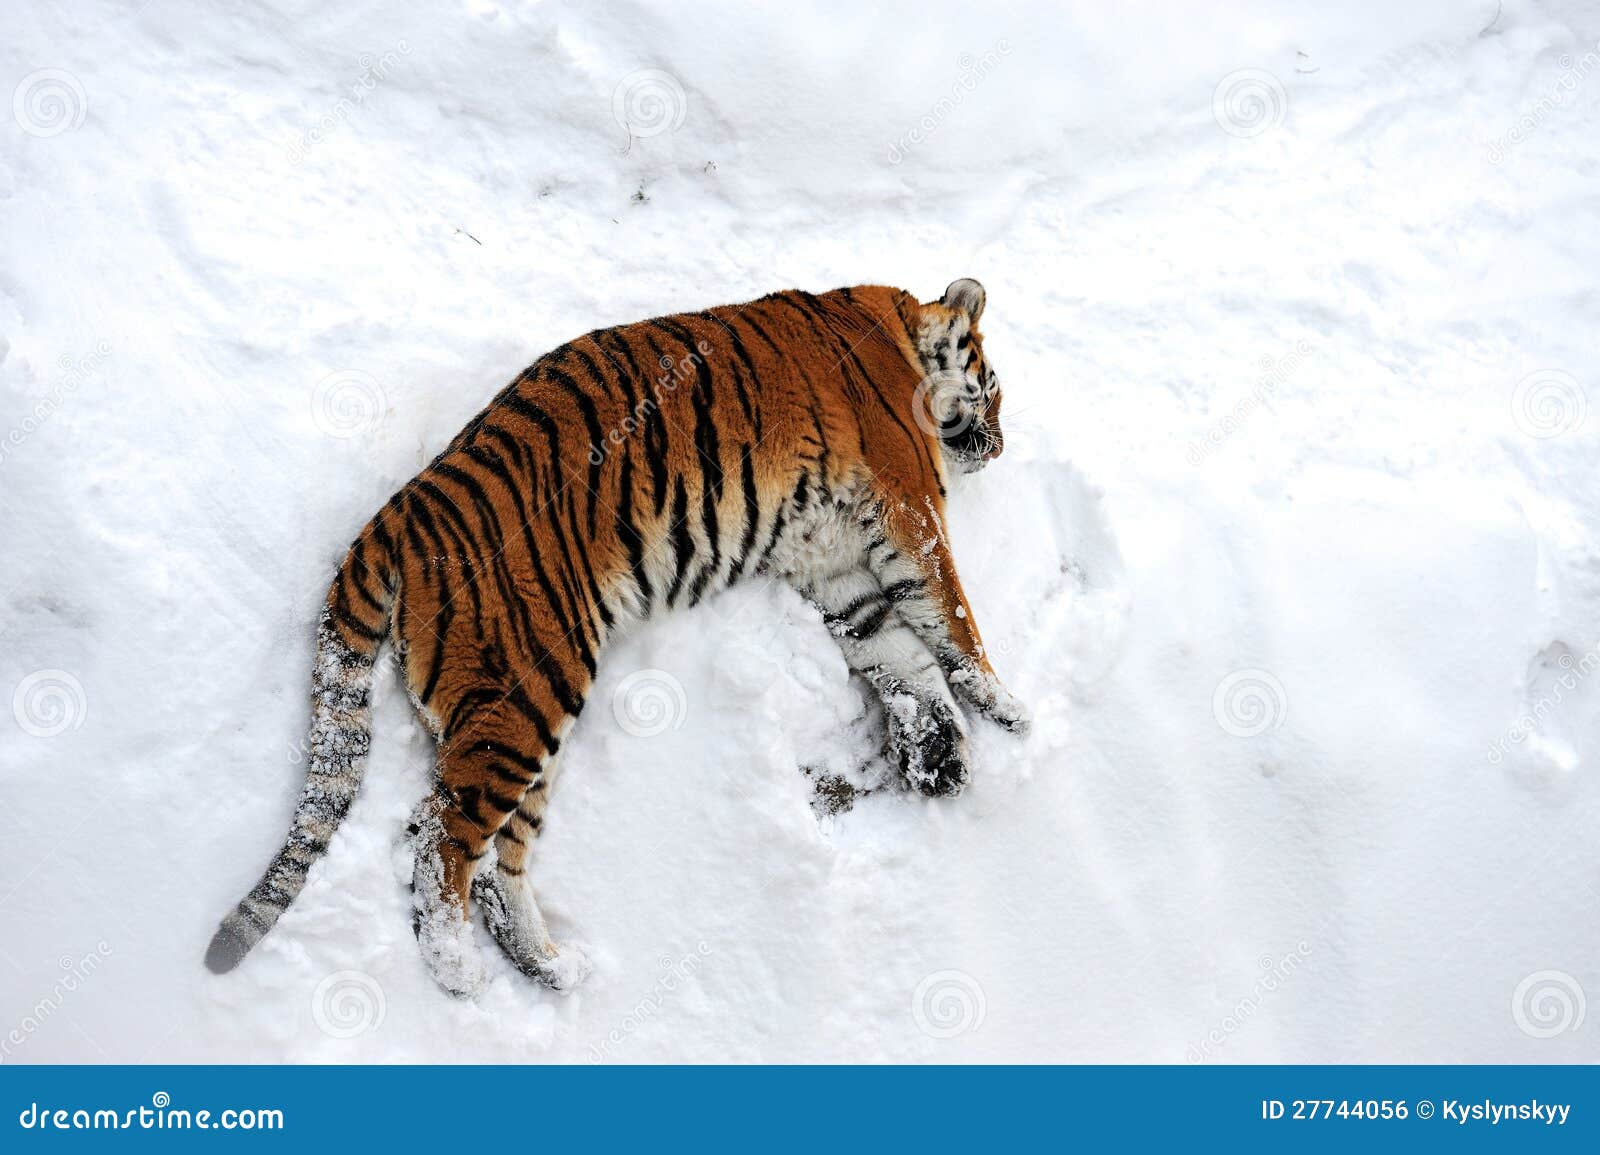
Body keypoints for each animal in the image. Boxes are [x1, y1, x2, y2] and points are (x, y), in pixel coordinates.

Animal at [204, 278, 1028, 995]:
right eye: (991, 387)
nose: (999, 450)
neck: (896, 326)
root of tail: (394, 517)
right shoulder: (907, 500)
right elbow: (950, 611)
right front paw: (1007, 707)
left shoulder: (829, 560)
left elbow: (896, 652)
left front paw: (940, 748)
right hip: (528, 687)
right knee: (435, 840)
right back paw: (459, 972)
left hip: (526, 715)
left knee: (498, 865)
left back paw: (552, 968)